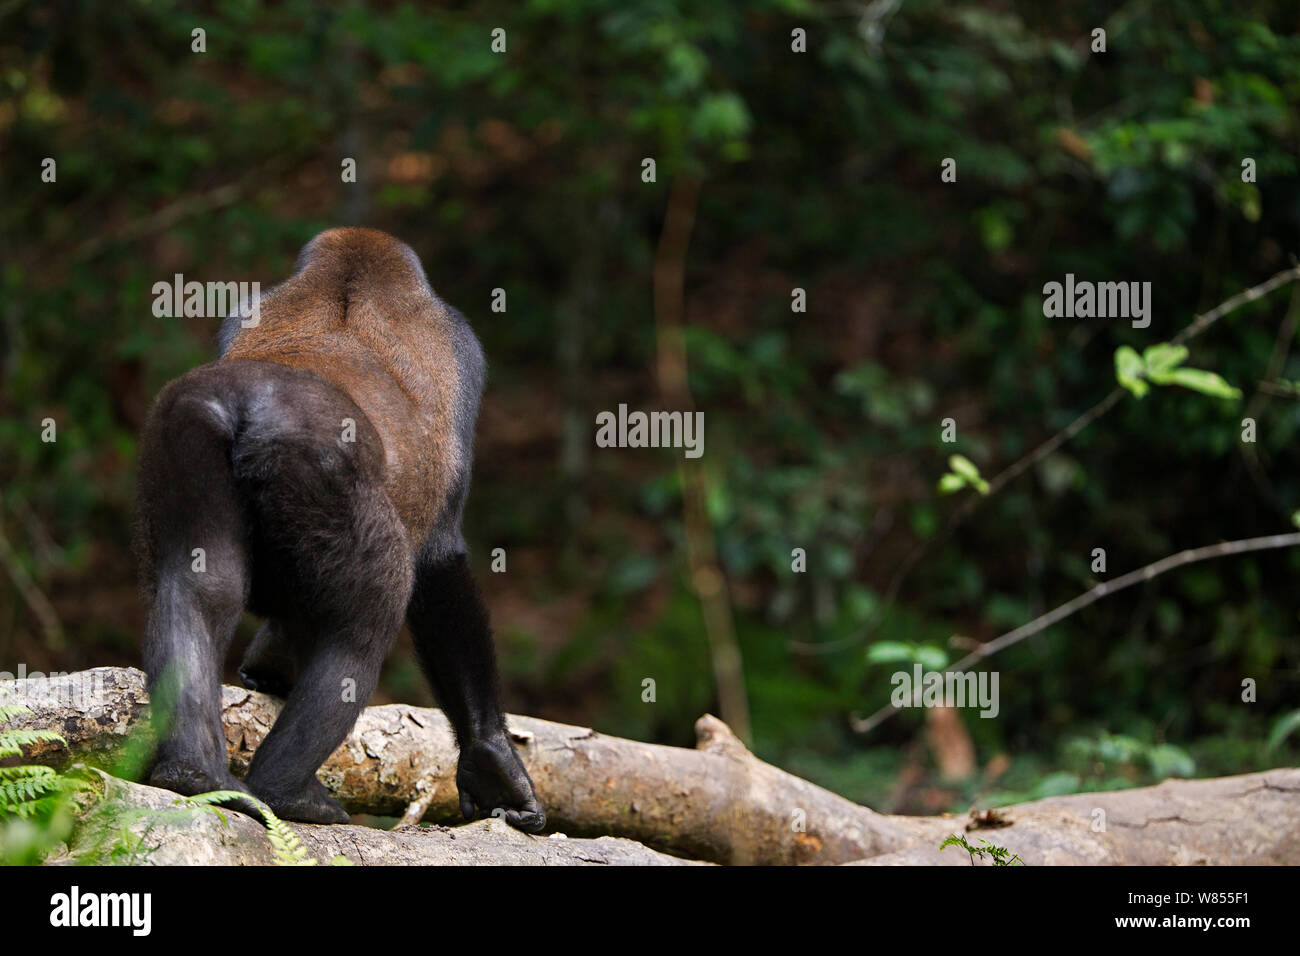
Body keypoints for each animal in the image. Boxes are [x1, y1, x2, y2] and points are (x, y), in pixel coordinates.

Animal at [132, 227, 544, 830]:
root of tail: (256, 403)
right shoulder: (462, 346)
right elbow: (439, 558)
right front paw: (490, 756)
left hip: (184, 426)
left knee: (201, 590)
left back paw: (194, 773)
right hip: (320, 465)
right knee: (364, 626)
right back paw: (286, 791)